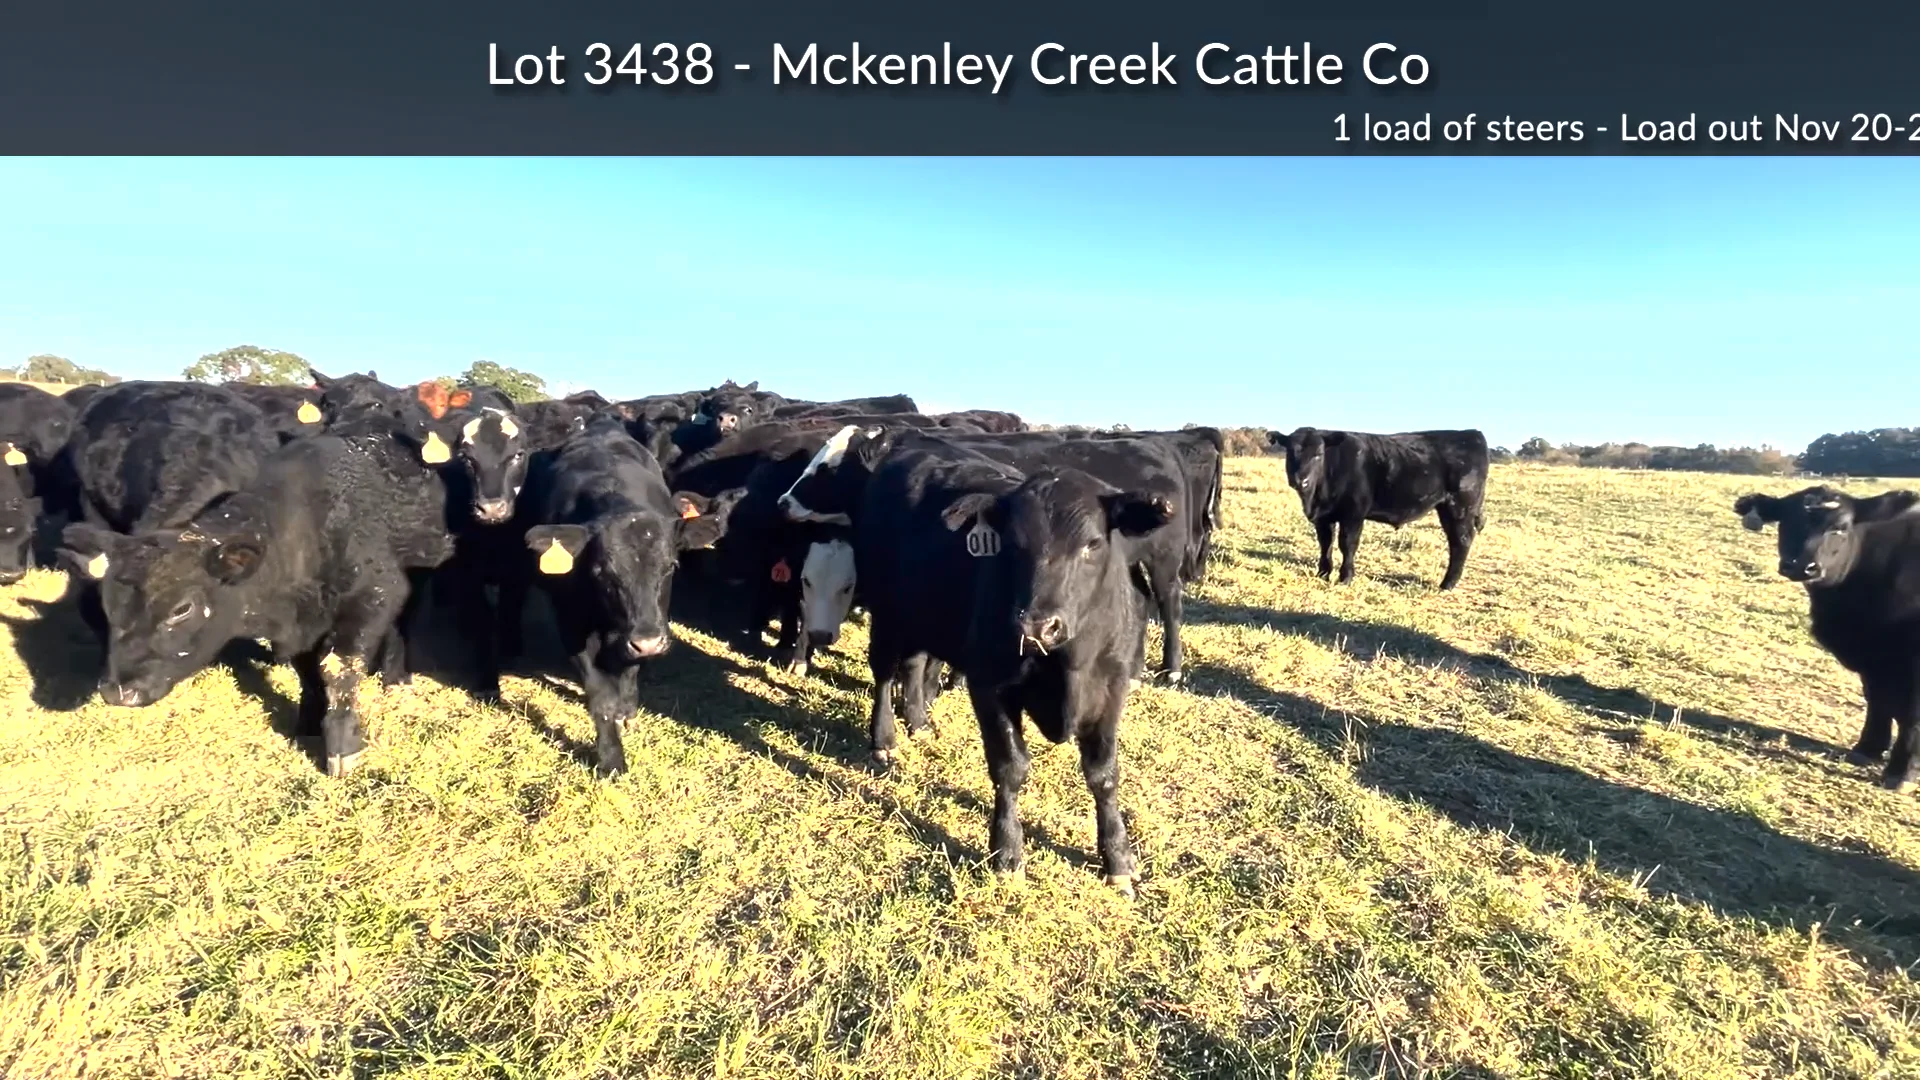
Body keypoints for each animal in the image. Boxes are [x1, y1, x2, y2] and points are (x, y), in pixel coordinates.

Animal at [56, 428, 461, 777]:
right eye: (108, 607)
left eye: (181, 609)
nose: (117, 691)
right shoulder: (300, 628)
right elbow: (308, 674)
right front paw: (307, 724)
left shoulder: (373, 596)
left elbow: (339, 673)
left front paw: (342, 748)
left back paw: (397, 677)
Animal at [515, 415, 736, 774]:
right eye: (600, 571)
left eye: (671, 566)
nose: (647, 642)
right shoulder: (570, 622)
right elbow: (600, 696)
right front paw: (611, 758)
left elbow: (630, 671)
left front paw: (628, 709)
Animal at [779, 427, 1175, 892]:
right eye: (1011, 545)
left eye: (1092, 544)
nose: (1037, 626)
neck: (1067, 664)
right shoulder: (989, 688)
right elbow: (1010, 768)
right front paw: (1006, 851)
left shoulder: (1111, 691)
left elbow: (1104, 775)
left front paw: (1117, 858)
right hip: (888, 610)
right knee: (884, 672)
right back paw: (884, 740)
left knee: (913, 664)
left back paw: (919, 721)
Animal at [1271, 427, 1489, 590]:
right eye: (1290, 453)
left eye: (1318, 454)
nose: (1301, 480)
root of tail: (1471, 434)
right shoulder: (1323, 517)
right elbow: (1326, 543)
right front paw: (1323, 573)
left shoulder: (1354, 514)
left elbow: (1347, 544)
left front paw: (1345, 578)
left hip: (1459, 508)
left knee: (1461, 541)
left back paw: (1448, 584)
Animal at [1734, 485, 1920, 791]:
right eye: (1786, 519)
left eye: (1840, 528)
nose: (1800, 566)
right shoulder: (1873, 657)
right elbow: (1876, 699)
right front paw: (1867, 749)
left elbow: (1911, 716)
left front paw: (1900, 773)